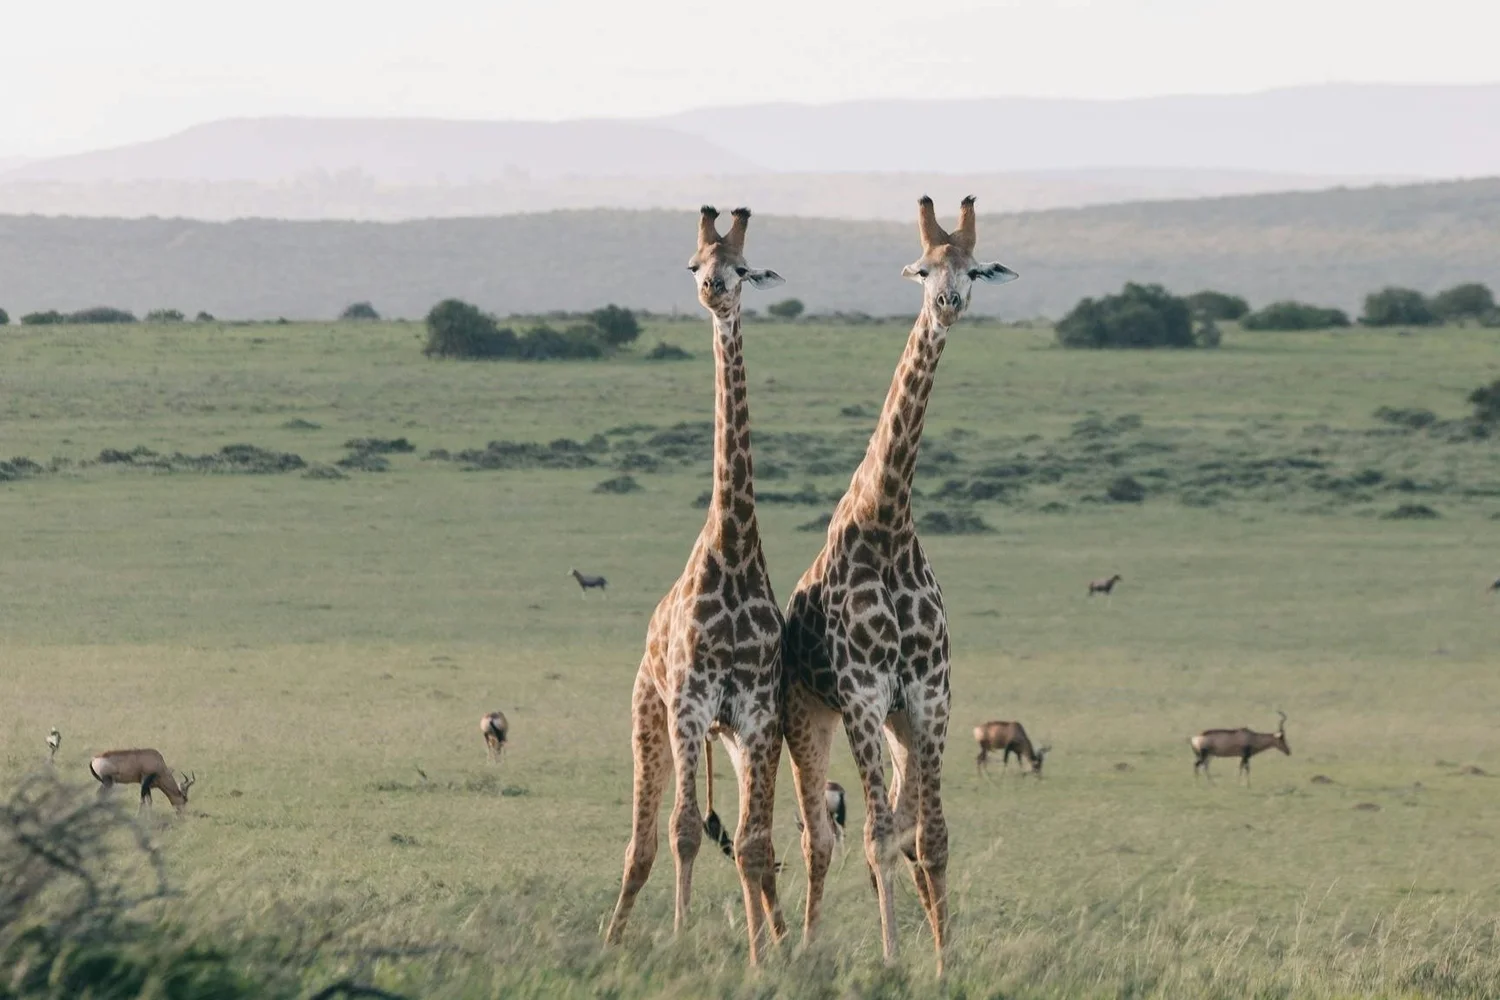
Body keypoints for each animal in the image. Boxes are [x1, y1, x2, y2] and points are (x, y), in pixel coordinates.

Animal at [781, 196, 1017, 972]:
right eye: (922, 268)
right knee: (818, 835)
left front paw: (947, 962)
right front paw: (890, 959)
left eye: (973, 269)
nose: (947, 304)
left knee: (896, 824)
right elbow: (880, 838)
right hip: (807, 716)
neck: (886, 520)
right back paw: (807, 945)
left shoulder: (929, 695)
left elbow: (929, 838)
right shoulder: (859, 692)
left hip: (898, 724)